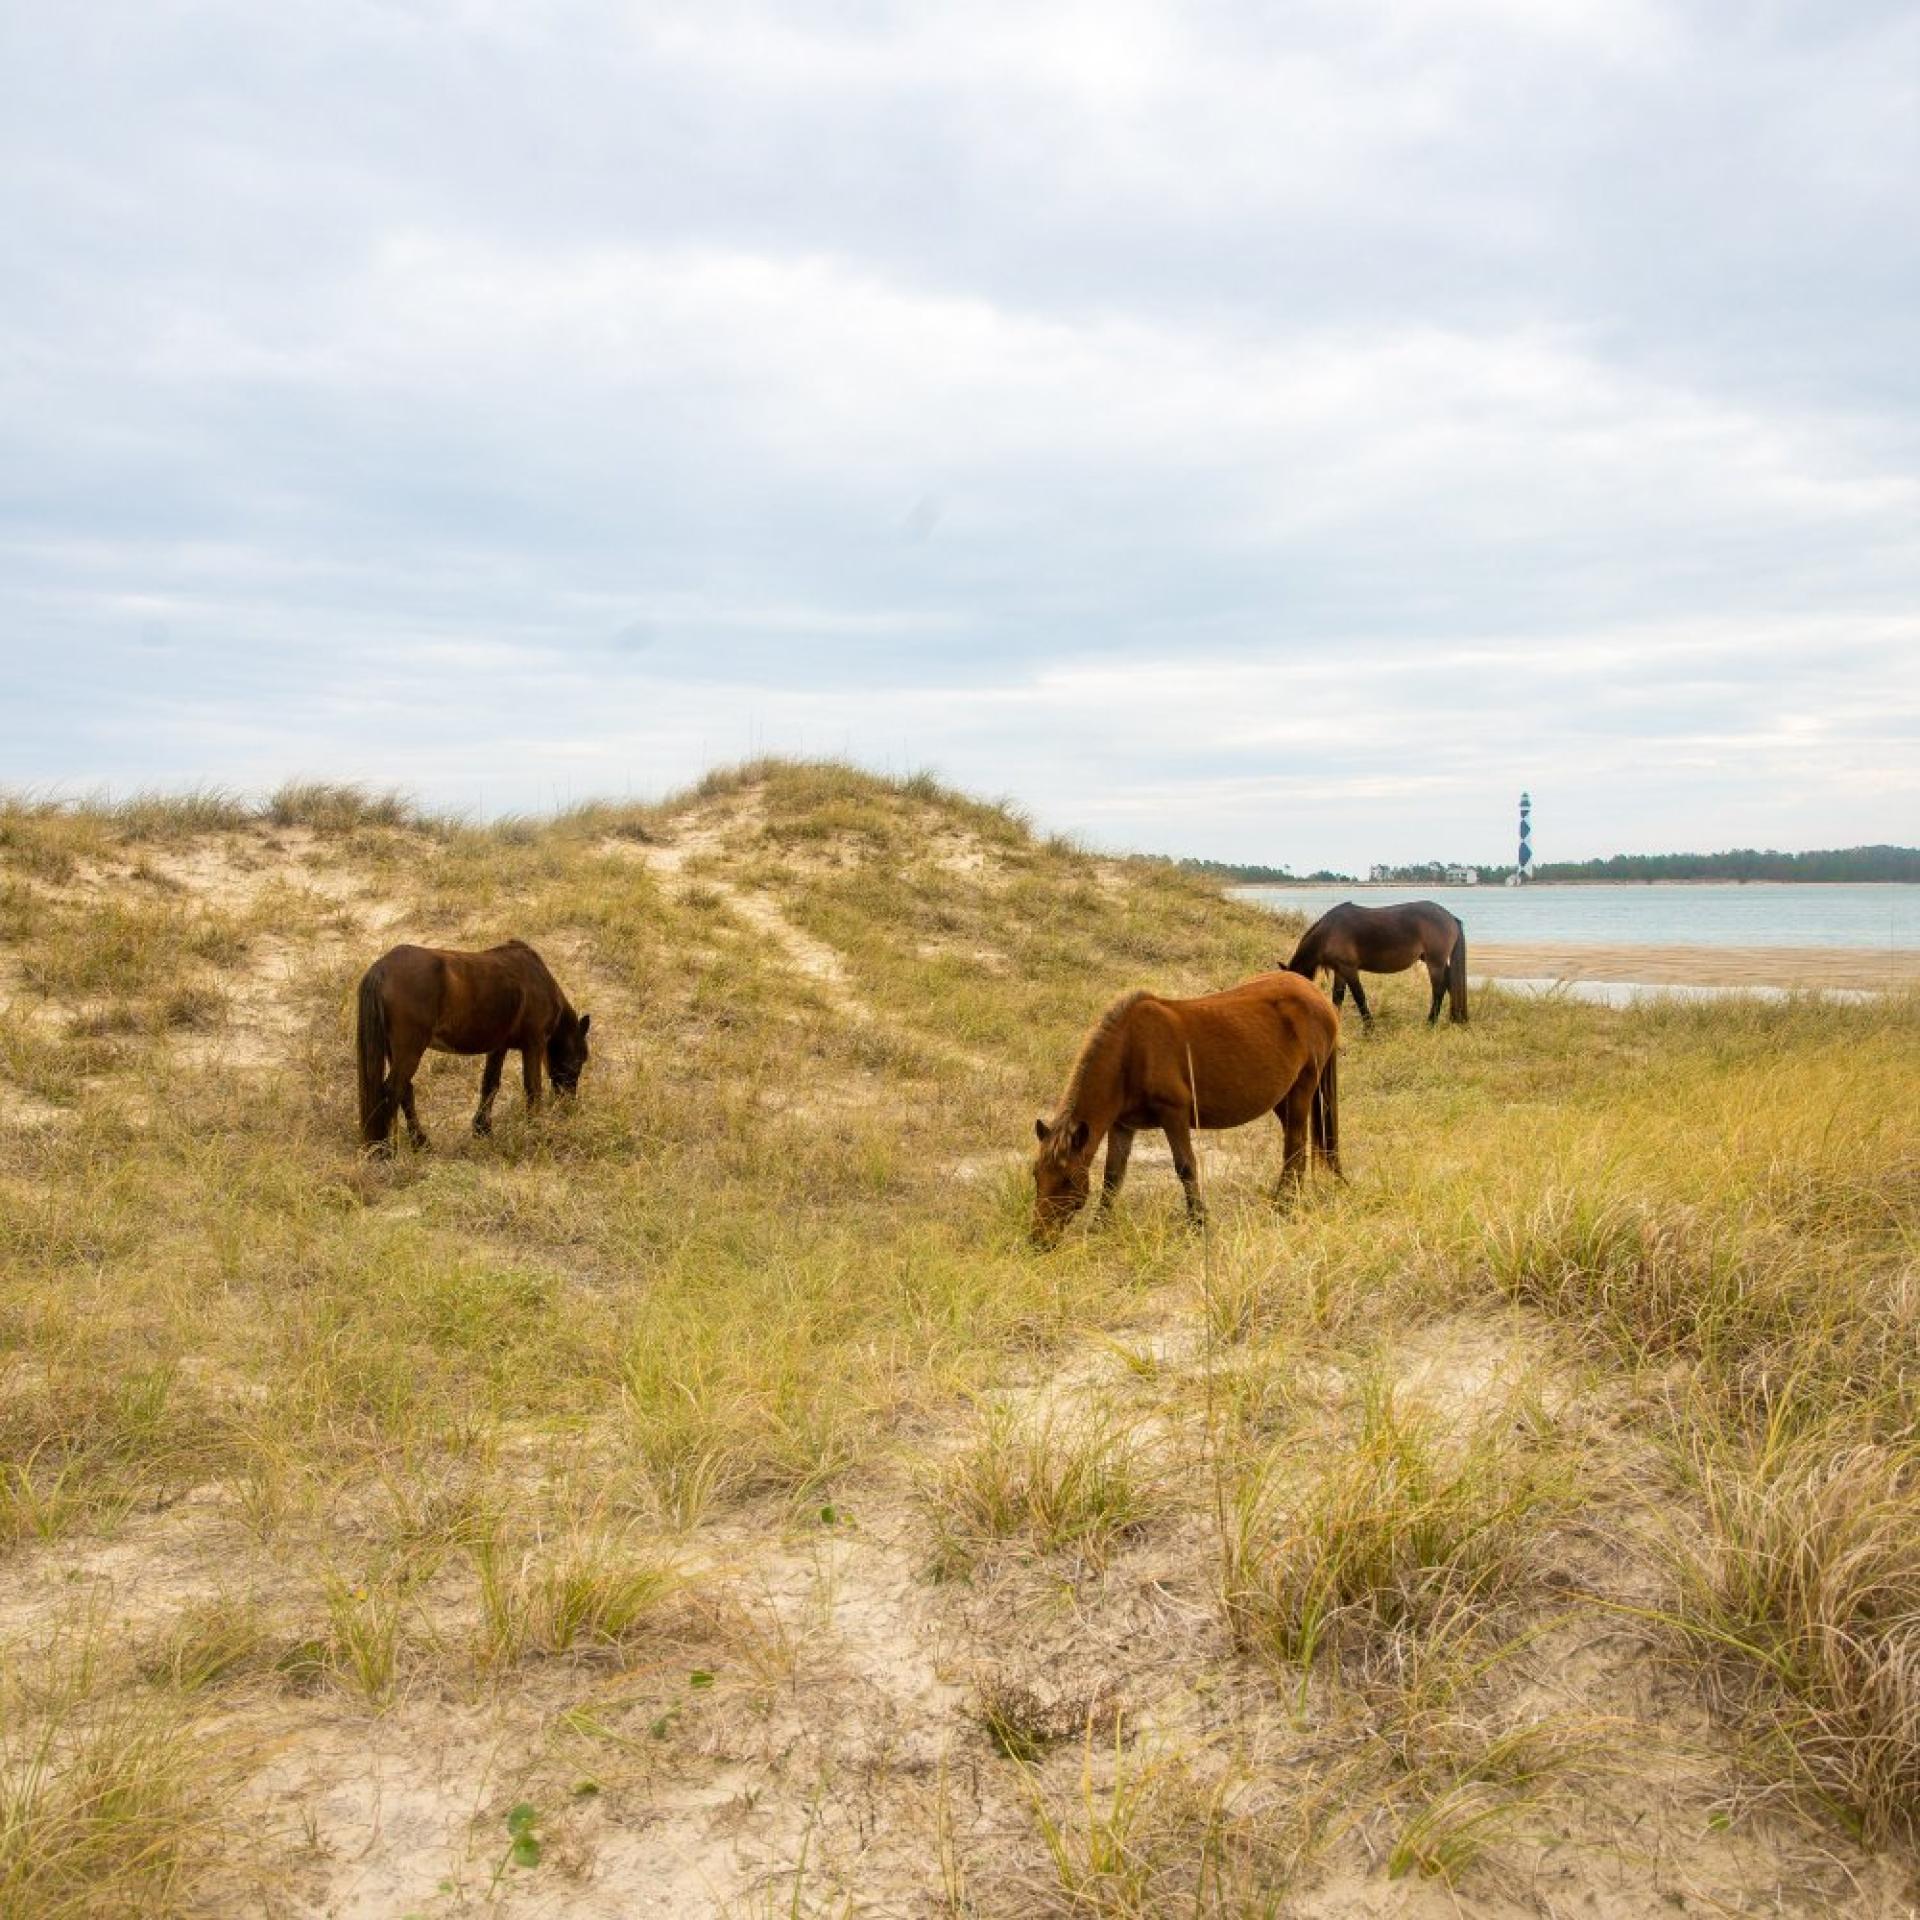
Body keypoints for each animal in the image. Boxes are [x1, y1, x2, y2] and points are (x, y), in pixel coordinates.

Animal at [356, 939, 591, 1152]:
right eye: (579, 1059)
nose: (568, 1106)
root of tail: (382, 968)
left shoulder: (499, 1047)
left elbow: (490, 1084)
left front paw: (482, 1129)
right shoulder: (534, 1044)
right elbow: (532, 1089)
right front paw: (535, 1131)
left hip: (396, 1052)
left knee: (405, 1090)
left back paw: (420, 1144)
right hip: (410, 1051)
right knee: (393, 1090)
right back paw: (385, 1151)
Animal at [1030, 970, 1339, 1247]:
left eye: (1068, 1180)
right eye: (1036, 1175)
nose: (1038, 1241)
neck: (1131, 1050)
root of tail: (1316, 994)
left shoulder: (1174, 1115)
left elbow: (1185, 1167)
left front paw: (1198, 1223)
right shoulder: (1122, 1125)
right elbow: (1113, 1176)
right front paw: (1099, 1226)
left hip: (1302, 1089)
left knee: (1295, 1145)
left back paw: (1284, 1206)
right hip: (1282, 1099)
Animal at [1285, 900, 1467, 1026]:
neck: (1328, 932)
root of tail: (1450, 917)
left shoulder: (1349, 969)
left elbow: (1359, 997)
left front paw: (1369, 1029)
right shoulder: (1340, 970)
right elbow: (1337, 997)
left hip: (1435, 963)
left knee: (1439, 990)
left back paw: (1431, 1023)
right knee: (1450, 984)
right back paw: (1456, 1018)